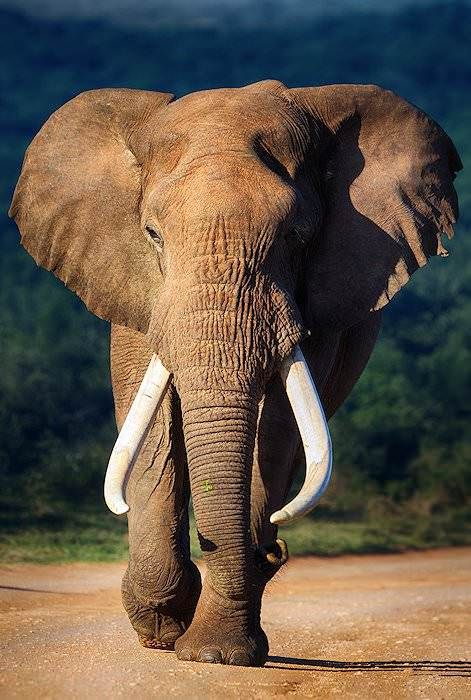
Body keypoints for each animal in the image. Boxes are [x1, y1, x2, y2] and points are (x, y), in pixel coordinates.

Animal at [9, 79, 461, 667]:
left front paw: (216, 654)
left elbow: (277, 431)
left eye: (297, 236)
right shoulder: (135, 286)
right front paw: (164, 627)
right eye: (152, 233)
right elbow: (151, 421)